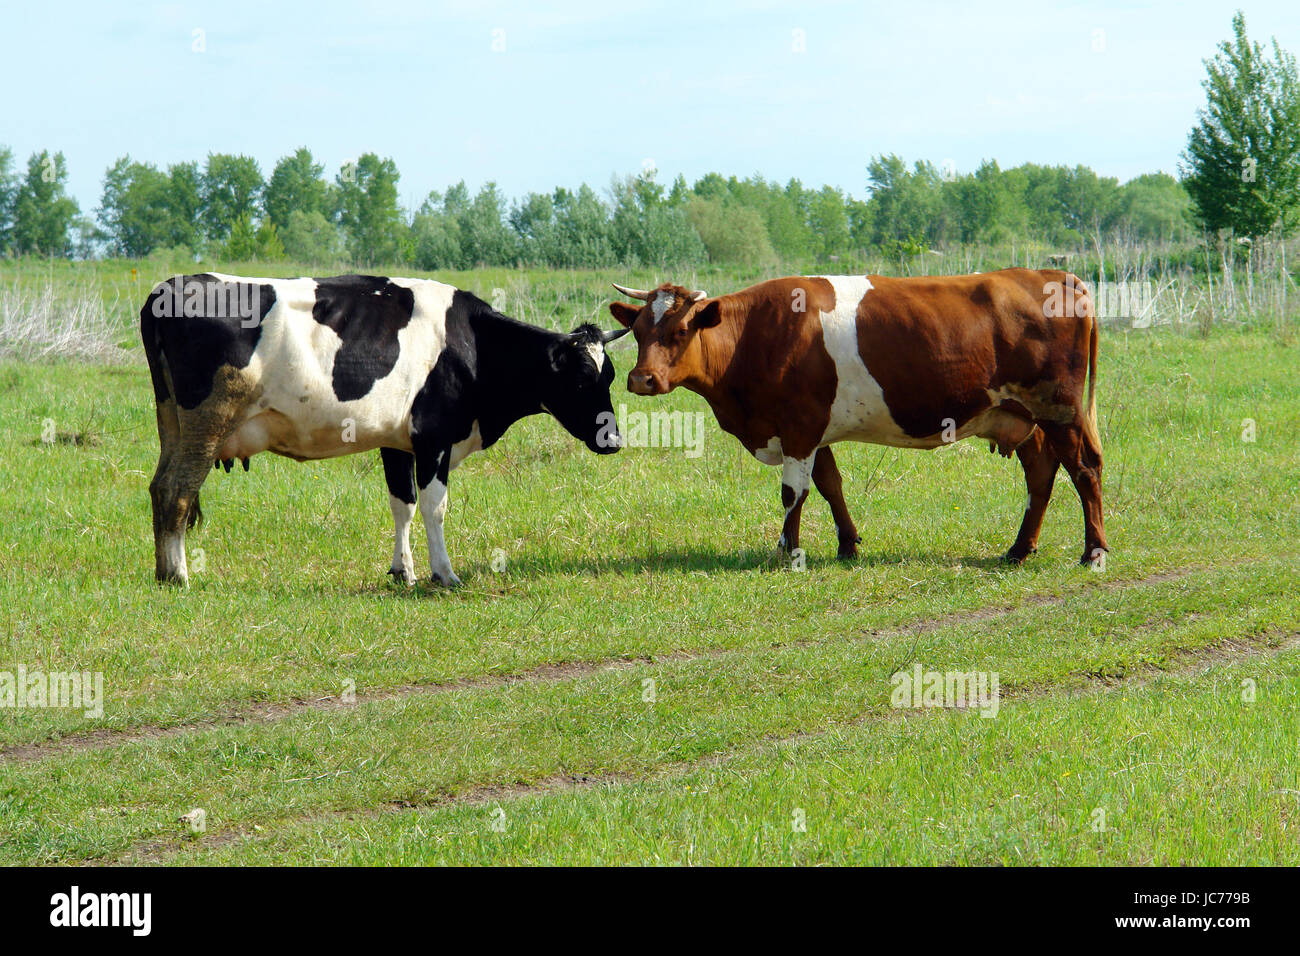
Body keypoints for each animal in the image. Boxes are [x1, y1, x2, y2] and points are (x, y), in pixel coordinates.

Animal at [141, 273, 629, 587]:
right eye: (581, 379)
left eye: (609, 377)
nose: (614, 439)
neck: (470, 344)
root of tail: (173, 286)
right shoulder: (433, 440)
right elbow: (434, 507)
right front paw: (444, 573)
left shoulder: (397, 444)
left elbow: (403, 506)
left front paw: (402, 572)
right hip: (206, 422)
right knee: (178, 490)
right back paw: (180, 575)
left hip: (172, 424)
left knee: (159, 486)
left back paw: (164, 572)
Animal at [608, 269, 1107, 566]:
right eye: (637, 331)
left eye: (679, 331)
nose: (641, 379)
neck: (754, 334)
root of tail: (1055, 274)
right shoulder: (814, 430)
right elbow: (831, 485)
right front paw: (847, 544)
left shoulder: (798, 427)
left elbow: (794, 493)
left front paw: (788, 552)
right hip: (1021, 415)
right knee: (1041, 473)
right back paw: (1020, 549)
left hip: (1061, 409)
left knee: (1084, 469)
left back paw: (1094, 551)